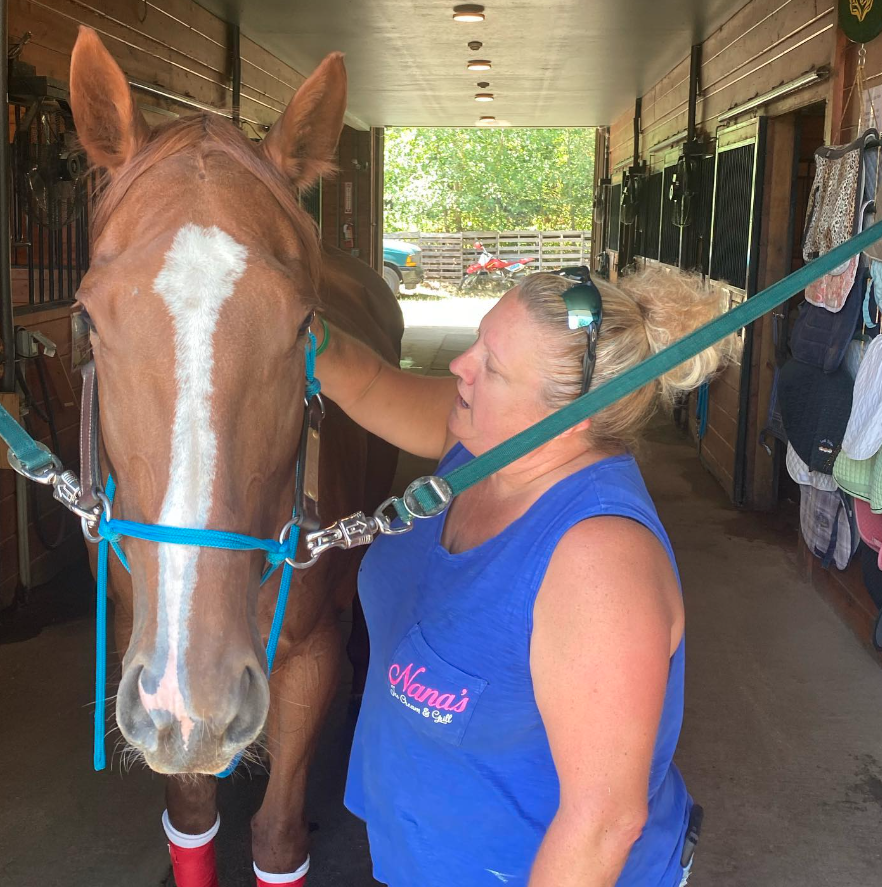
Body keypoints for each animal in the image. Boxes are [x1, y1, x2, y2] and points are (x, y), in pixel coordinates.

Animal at [68, 26, 402, 883]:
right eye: (87, 318)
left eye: (305, 324)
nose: (201, 694)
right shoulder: (156, 686)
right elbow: (191, 822)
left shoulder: (301, 668)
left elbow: (279, 837)